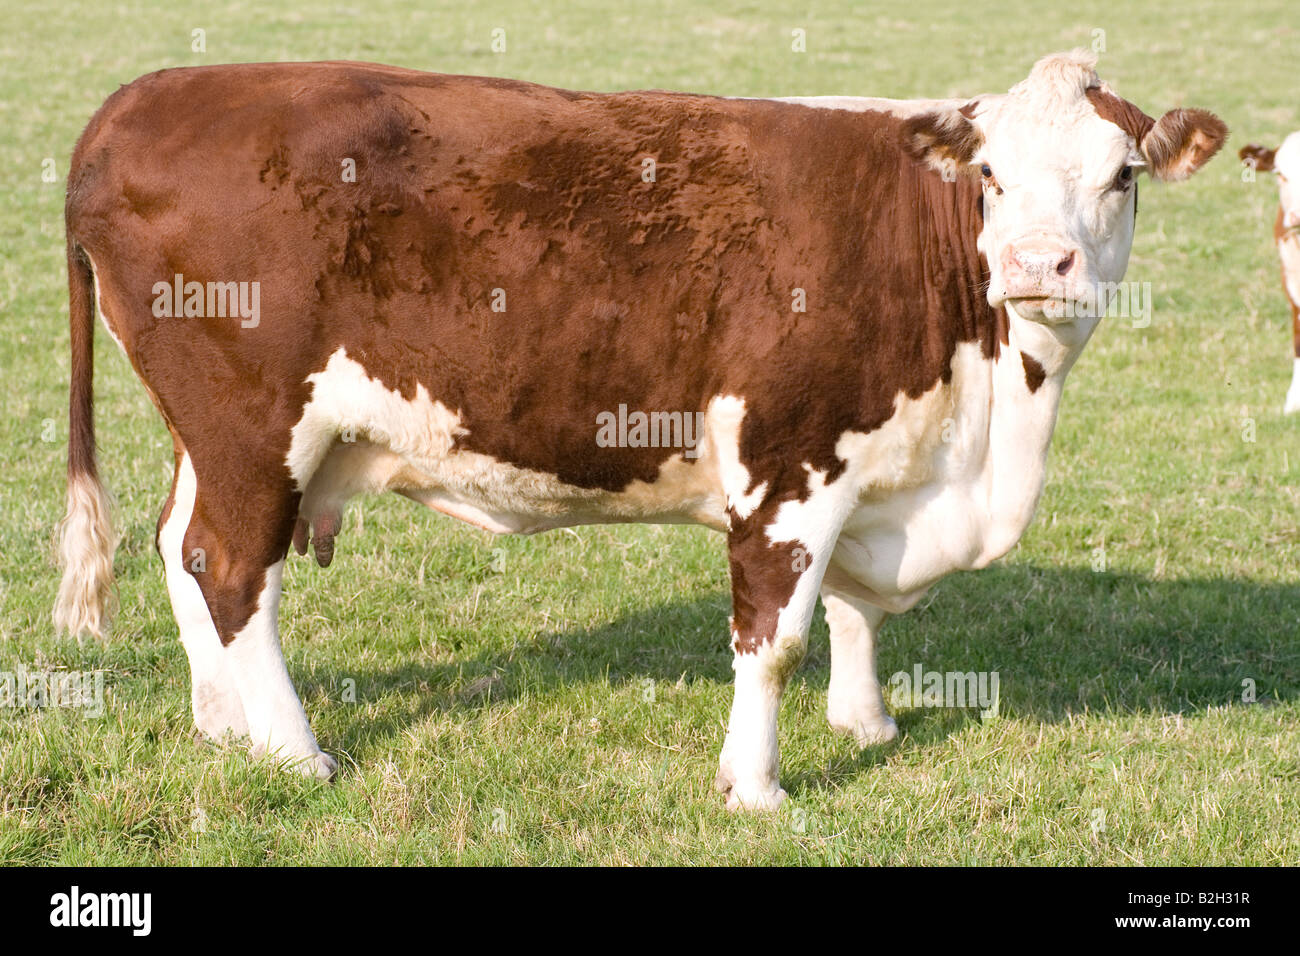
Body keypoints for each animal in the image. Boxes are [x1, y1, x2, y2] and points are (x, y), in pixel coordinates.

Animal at [54, 51, 1225, 809]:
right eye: (991, 174)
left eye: (1120, 174)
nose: (1038, 263)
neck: (987, 423)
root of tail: (145, 97)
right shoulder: (788, 464)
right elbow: (775, 635)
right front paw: (756, 788)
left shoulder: (874, 467)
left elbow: (852, 609)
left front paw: (867, 724)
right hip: (254, 425)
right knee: (232, 566)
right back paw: (297, 753)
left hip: (207, 434)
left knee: (179, 542)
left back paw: (224, 723)